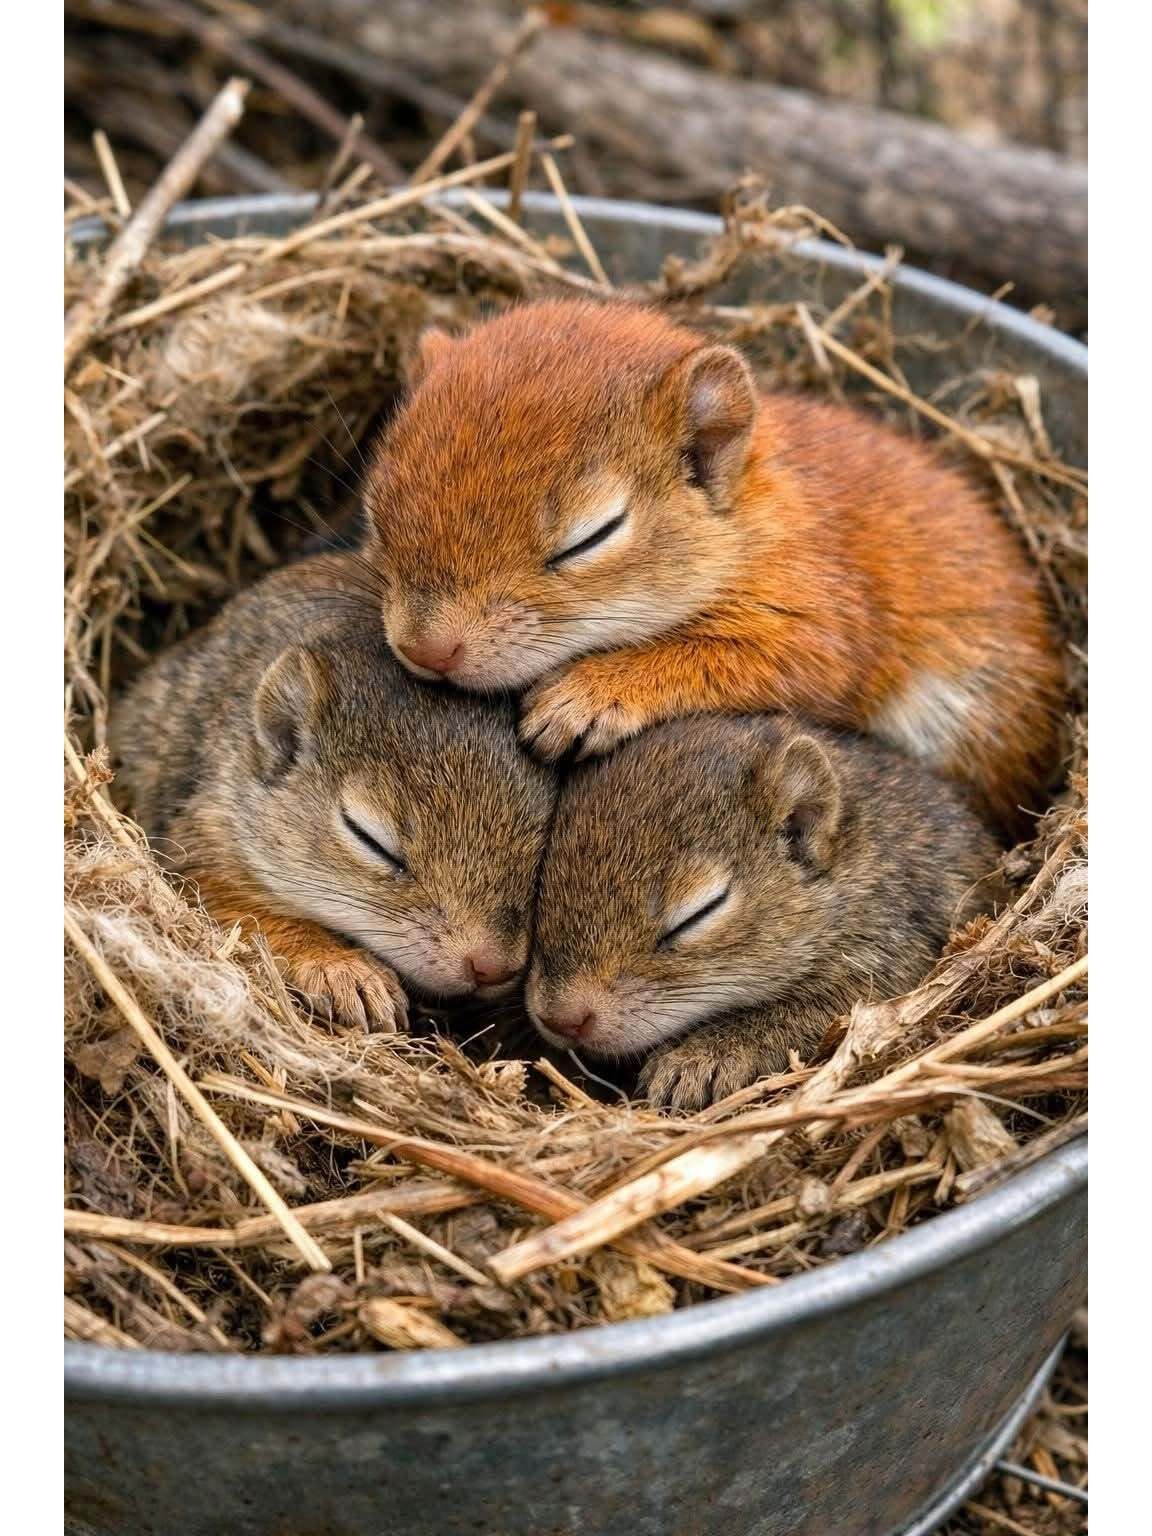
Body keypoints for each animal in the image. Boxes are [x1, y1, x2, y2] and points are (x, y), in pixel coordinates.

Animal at [361, 299, 1062, 831]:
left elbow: (745, 660)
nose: (427, 650)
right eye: (376, 508)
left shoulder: (817, 610)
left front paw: (586, 698)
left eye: (592, 537)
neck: (750, 522)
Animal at [526, 715, 999, 1110]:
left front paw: (700, 1059)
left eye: (701, 912)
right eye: (541, 884)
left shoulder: (893, 955)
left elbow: (816, 1015)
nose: (561, 1018)